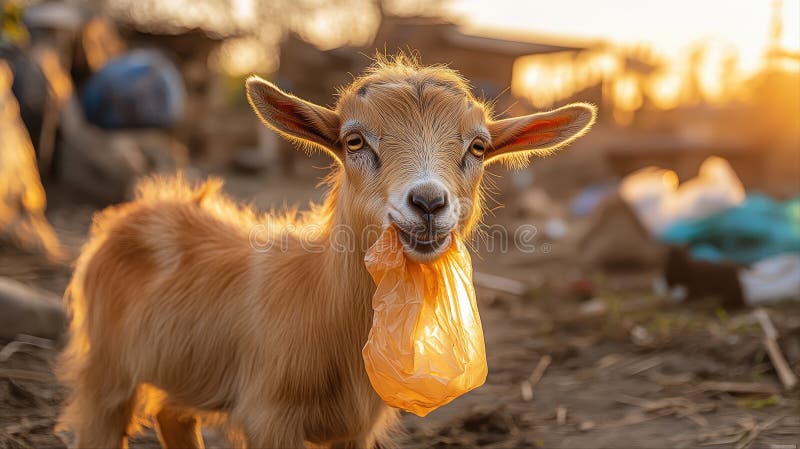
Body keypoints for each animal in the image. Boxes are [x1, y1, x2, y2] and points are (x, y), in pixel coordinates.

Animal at [57, 55, 596, 448]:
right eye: (354, 140)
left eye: (478, 147)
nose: (427, 203)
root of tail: (138, 207)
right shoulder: (269, 417)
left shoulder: (354, 430)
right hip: (106, 371)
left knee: (173, 415)